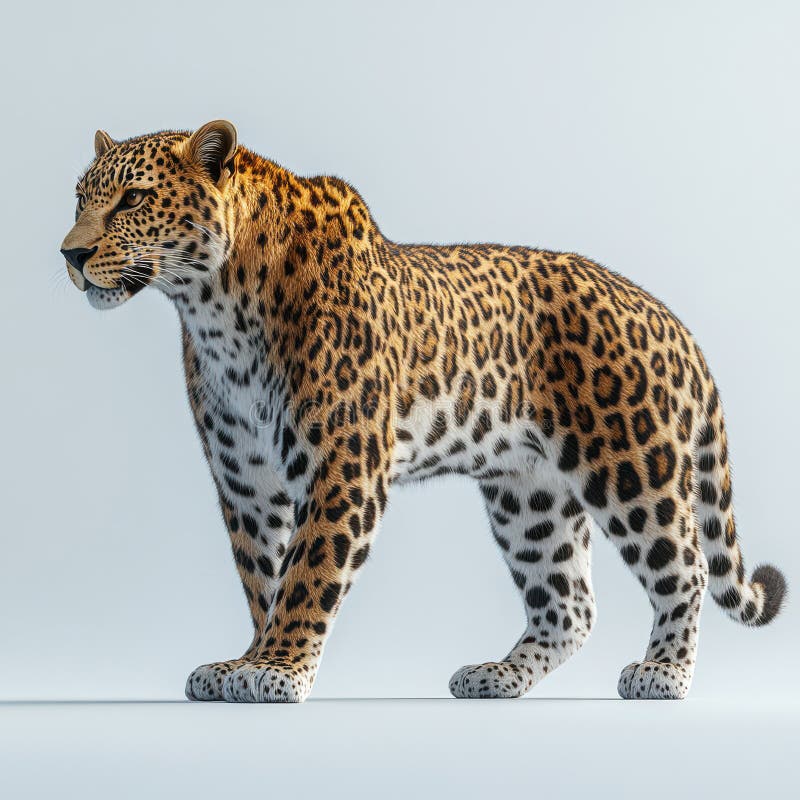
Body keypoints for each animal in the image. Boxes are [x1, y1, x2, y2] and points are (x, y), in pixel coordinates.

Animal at [61, 120, 786, 702]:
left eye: (133, 198)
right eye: (80, 197)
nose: (70, 253)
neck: (215, 309)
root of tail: (669, 317)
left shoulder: (342, 466)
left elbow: (306, 573)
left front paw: (275, 669)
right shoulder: (245, 483)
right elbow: (262, 577)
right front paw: (244, 661)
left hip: (633, 465)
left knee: (685, 567)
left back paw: (662, 672)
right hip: (530, 496)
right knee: (569, 605)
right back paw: (497, 676)